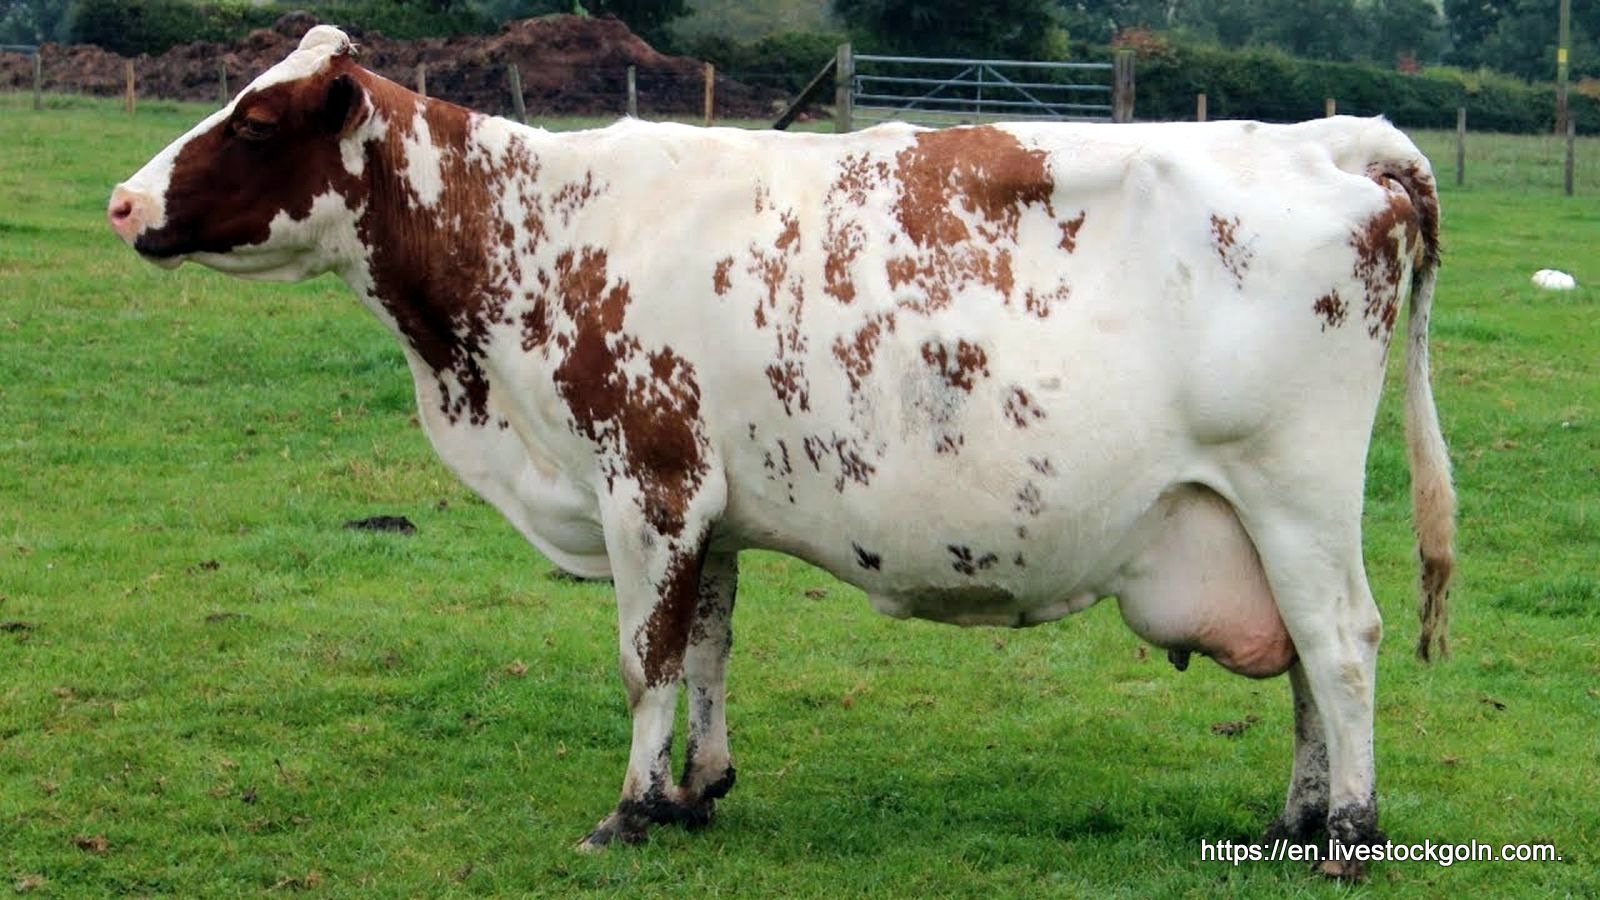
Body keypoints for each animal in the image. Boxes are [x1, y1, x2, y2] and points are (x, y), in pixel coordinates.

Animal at [108, 26, 1455, 878]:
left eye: (257, 119)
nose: (122, 203)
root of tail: (1338, 140)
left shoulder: (643, 485)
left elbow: (644, 660)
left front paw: (626, 814)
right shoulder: (705, 503)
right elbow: (706, 644)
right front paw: (694, 793)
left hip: (1294, 490)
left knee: (1341, 646)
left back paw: (1349, 836)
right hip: (1258, 515)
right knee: (1303, 662)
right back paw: (1292, 823)